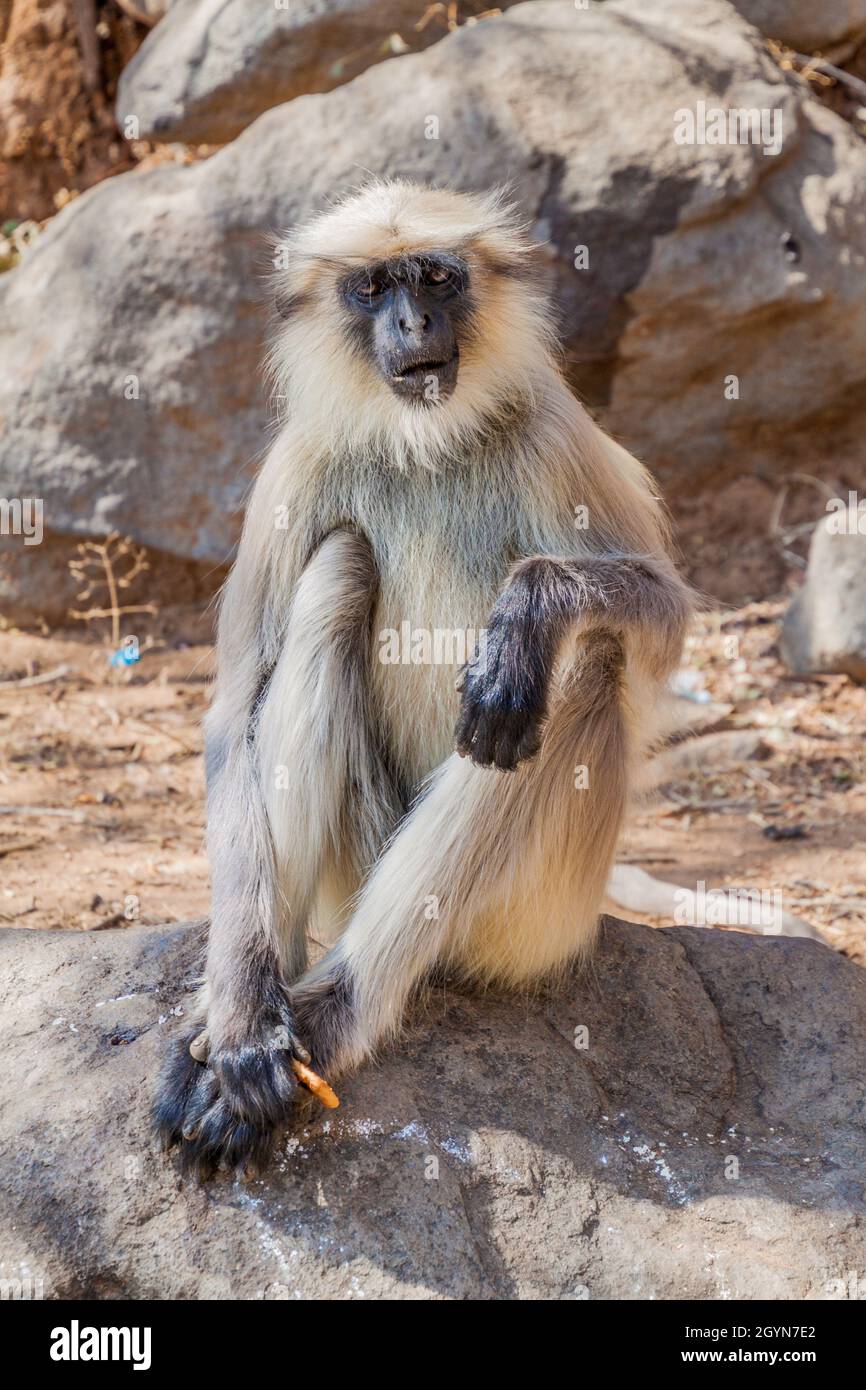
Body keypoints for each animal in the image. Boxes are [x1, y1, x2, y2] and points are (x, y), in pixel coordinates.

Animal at [153, 180, 694, 1177]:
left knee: (582, 665)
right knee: (339, 569)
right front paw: (239, 1019)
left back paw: (338, 1012)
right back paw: (253, 1025)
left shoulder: (550, 428)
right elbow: (231, 714)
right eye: (372, 287)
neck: (426, 444)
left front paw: (529, 613)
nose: (413, 321)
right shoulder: (294, 466)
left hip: (542, 920)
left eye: (436, 277)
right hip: (355, 866)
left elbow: (663, 622)